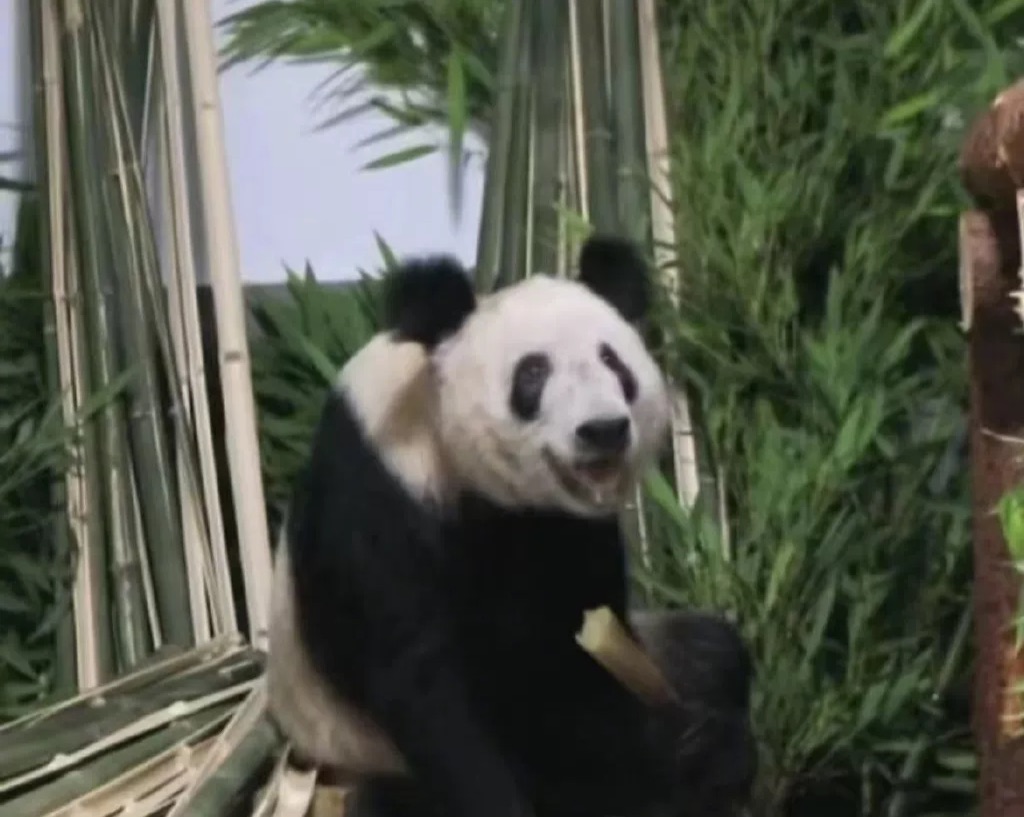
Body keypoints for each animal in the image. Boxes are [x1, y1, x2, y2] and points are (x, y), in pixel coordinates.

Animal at [266, 234, 756, 817]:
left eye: (612, 361)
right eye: (533, 374)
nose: (604, 430)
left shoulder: (566, 531)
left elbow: (575, 650)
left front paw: (691, 751)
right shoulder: (377, 490)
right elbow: (424, 682)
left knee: (710, 651)